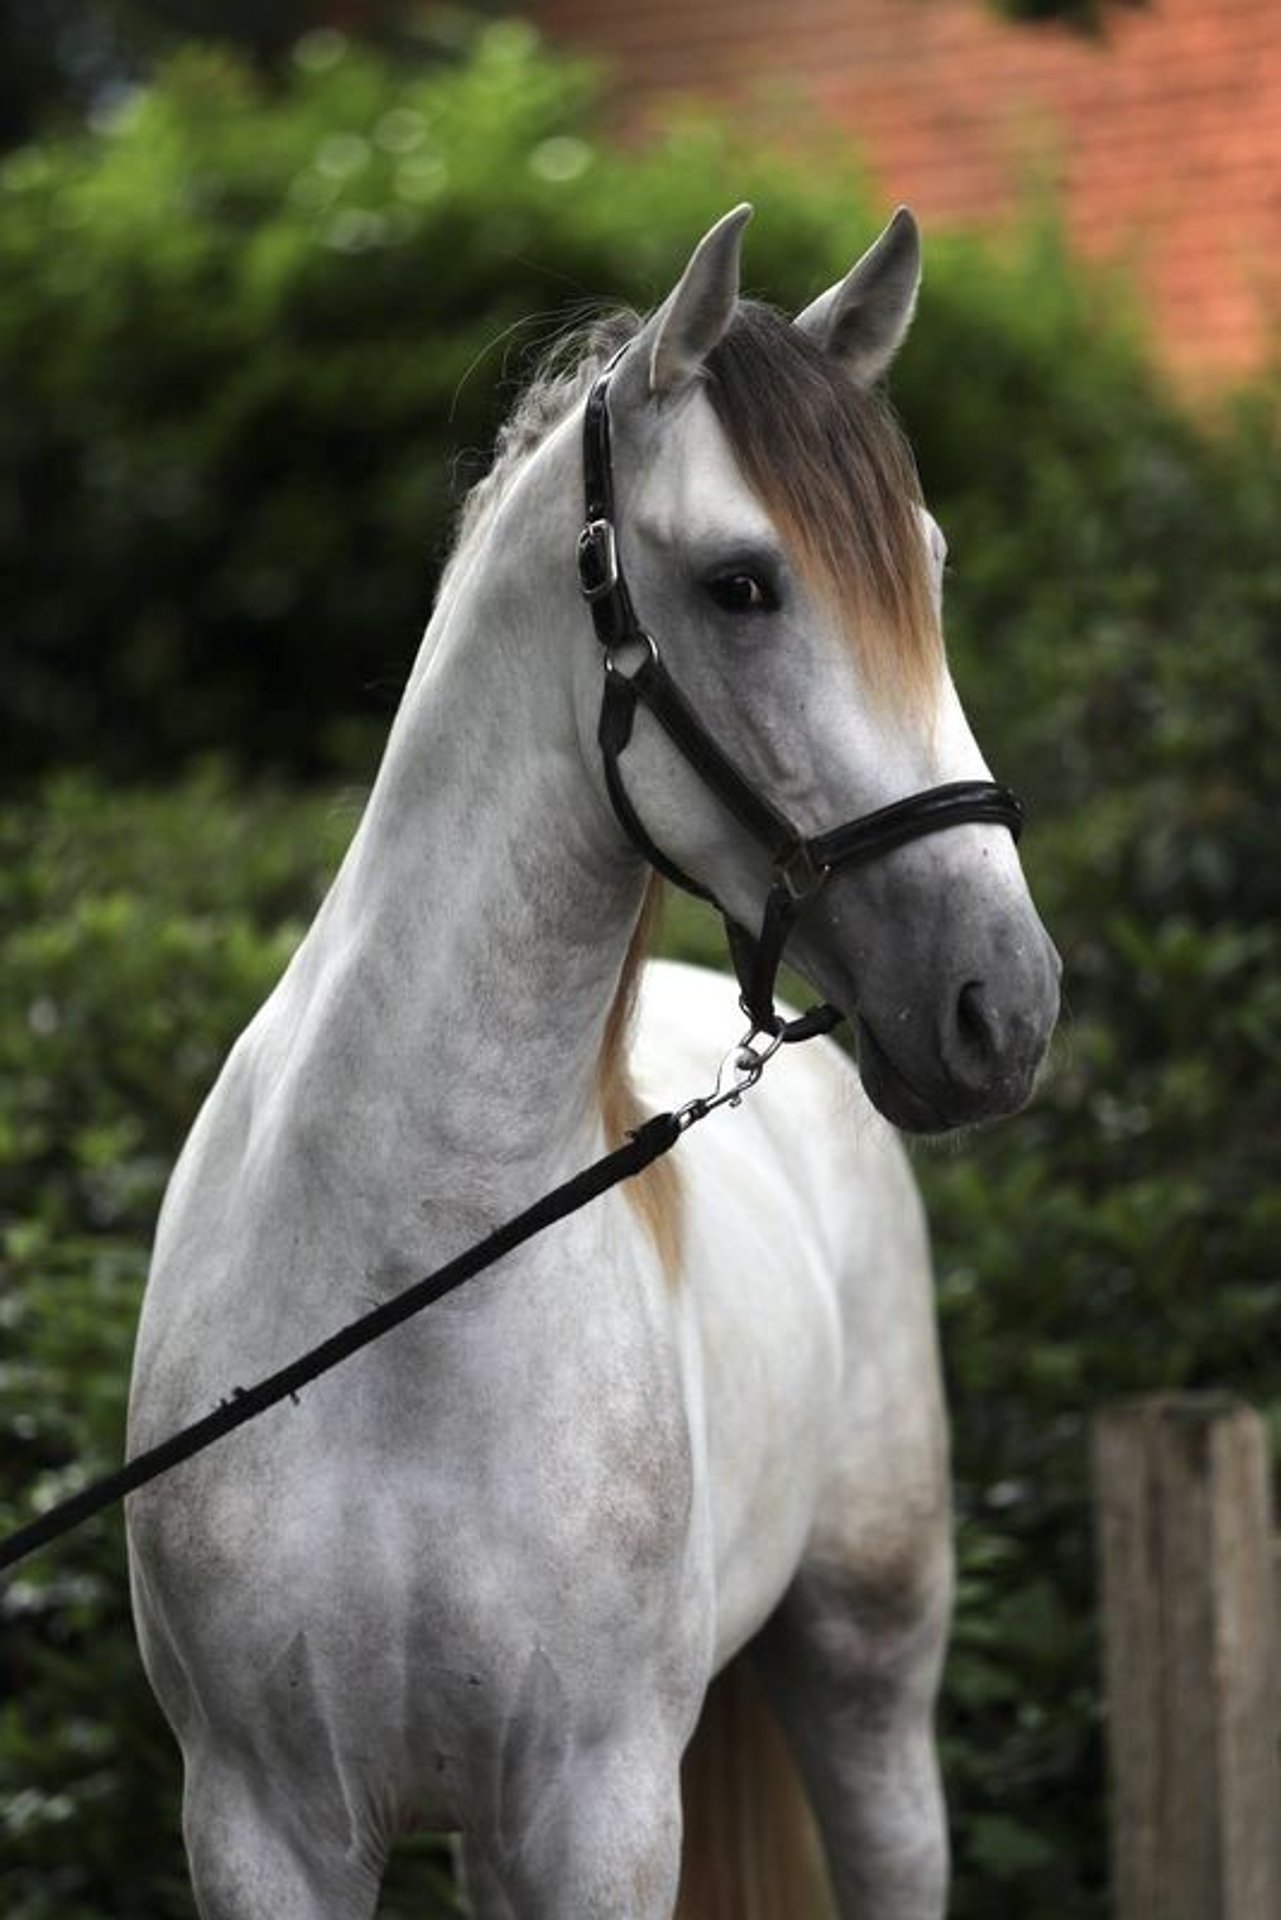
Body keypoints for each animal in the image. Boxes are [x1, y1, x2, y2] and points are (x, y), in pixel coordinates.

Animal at [126, 203, 1060, 1919]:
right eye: (744, 584)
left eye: (928, 566)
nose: (1002, 1007)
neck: (404, 1300)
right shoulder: (265, 1822)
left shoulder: (595, 1812)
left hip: (868, 1671)